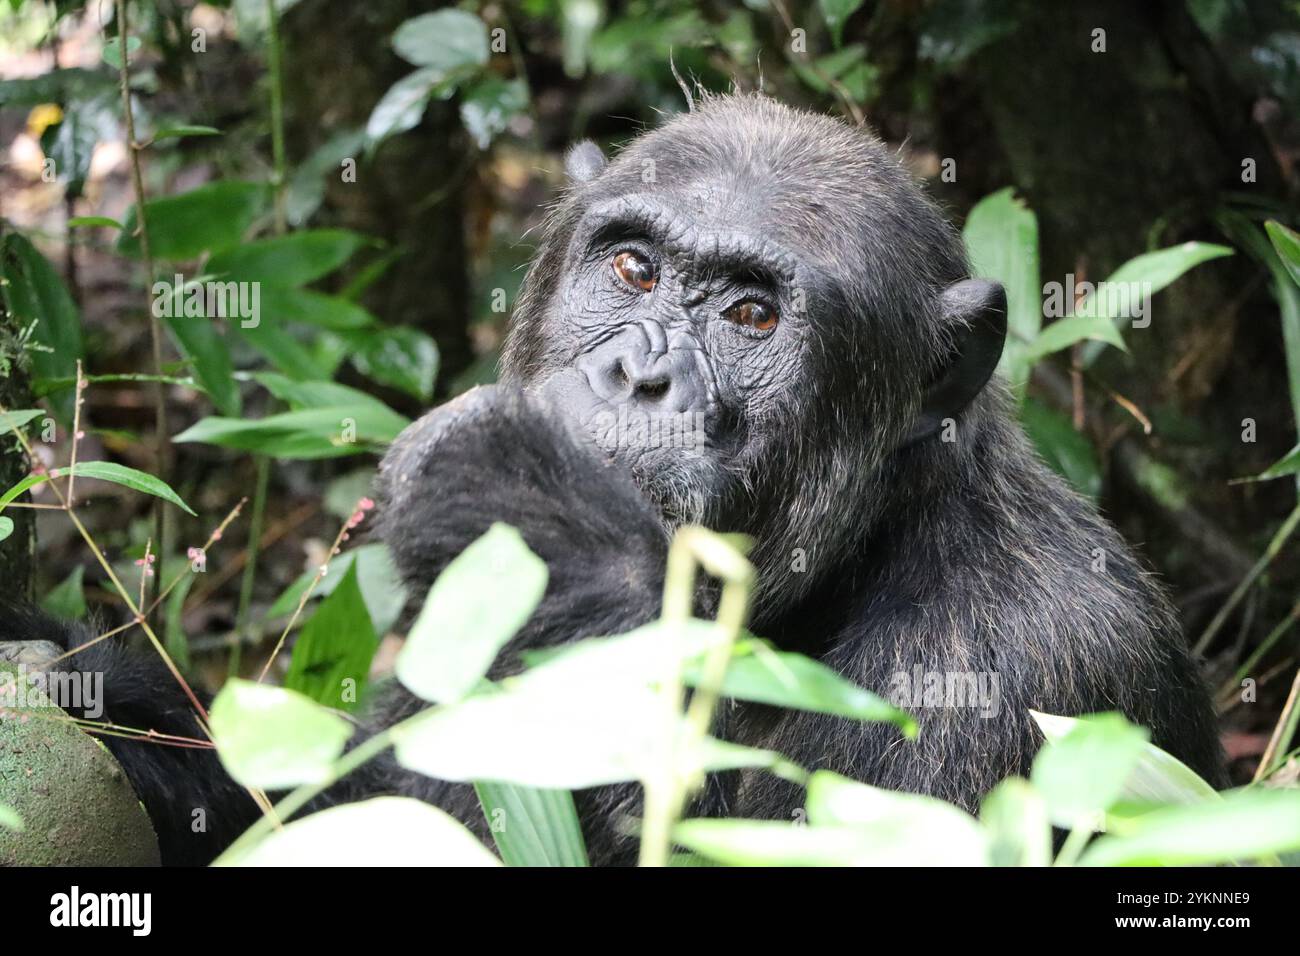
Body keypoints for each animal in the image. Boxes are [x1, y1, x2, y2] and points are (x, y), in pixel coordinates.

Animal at [2, 92, 1225, 865]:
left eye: (751, 316)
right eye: (633, 267)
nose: (638, 372)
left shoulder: (1017, 672)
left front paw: (535, 509)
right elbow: (315, 817)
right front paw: (98, 689)